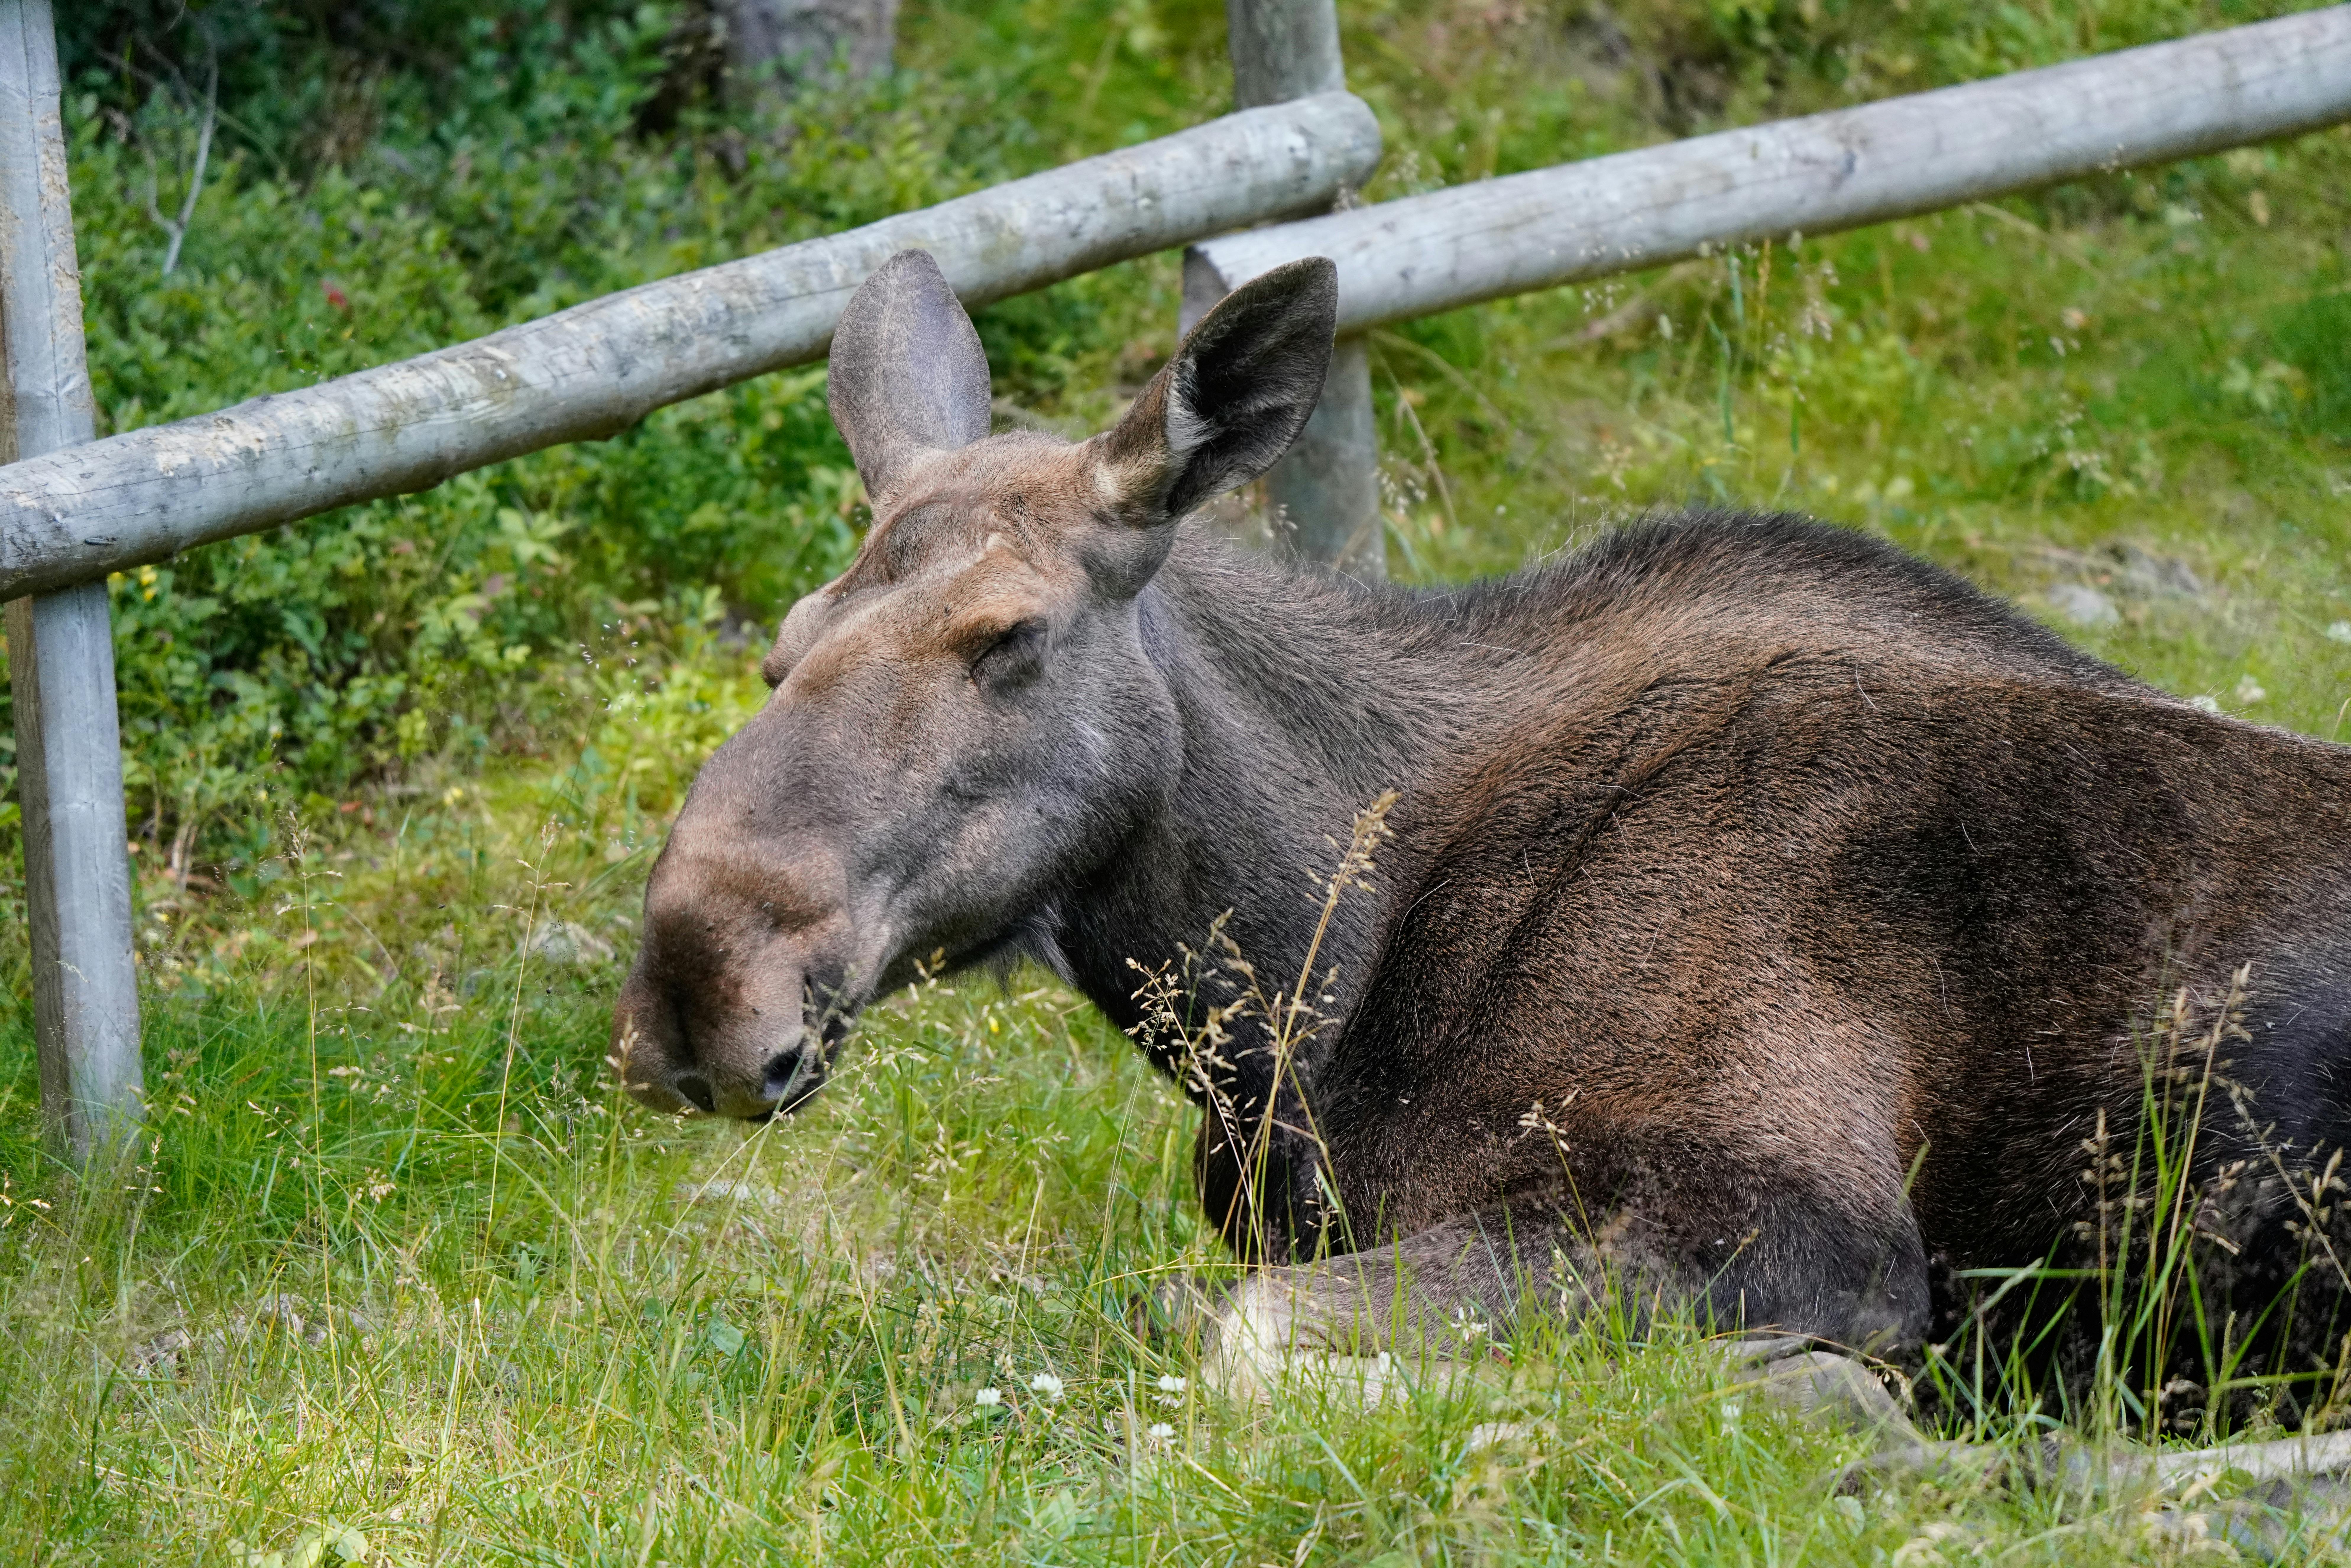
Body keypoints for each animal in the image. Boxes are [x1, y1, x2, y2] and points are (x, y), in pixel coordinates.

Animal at [611, 249, 2351, 1414]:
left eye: (1011, 635)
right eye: (782, 648)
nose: (698, 985)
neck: (1296, 990)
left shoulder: (1799, 1224)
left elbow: (1241, 1332)